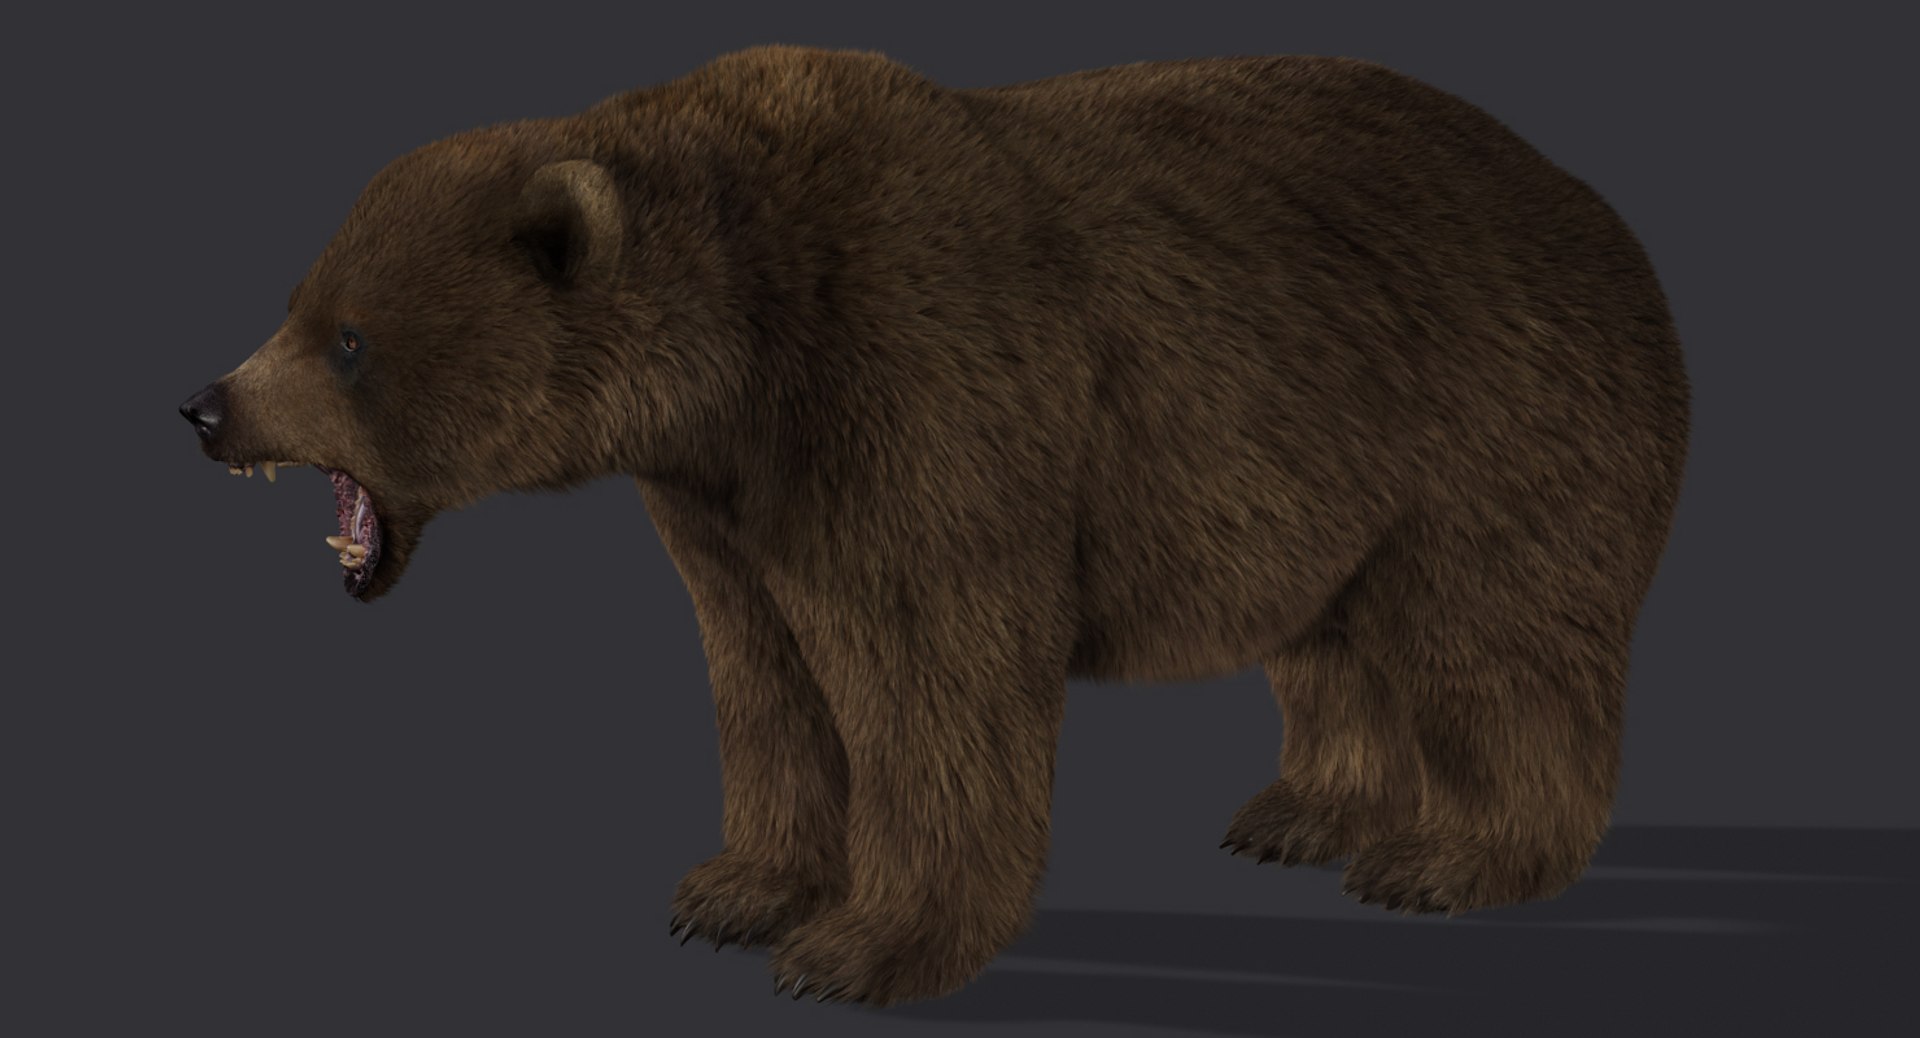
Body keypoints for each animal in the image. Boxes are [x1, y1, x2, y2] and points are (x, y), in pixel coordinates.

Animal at [179, 45, 1691, 1006]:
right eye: (301, 297)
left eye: (349, 338)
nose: (207, 405)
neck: (737, 356)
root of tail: (1611, 225)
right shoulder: (730, 508)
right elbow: (770, 679)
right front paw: (738, 887)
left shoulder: (917, 389)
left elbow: (932, 677)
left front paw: (862, 944)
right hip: (1331, 476)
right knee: (1337, 637)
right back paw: (1304, 809)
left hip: (1486, 421)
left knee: (1495, 639)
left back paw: (1453, 855)